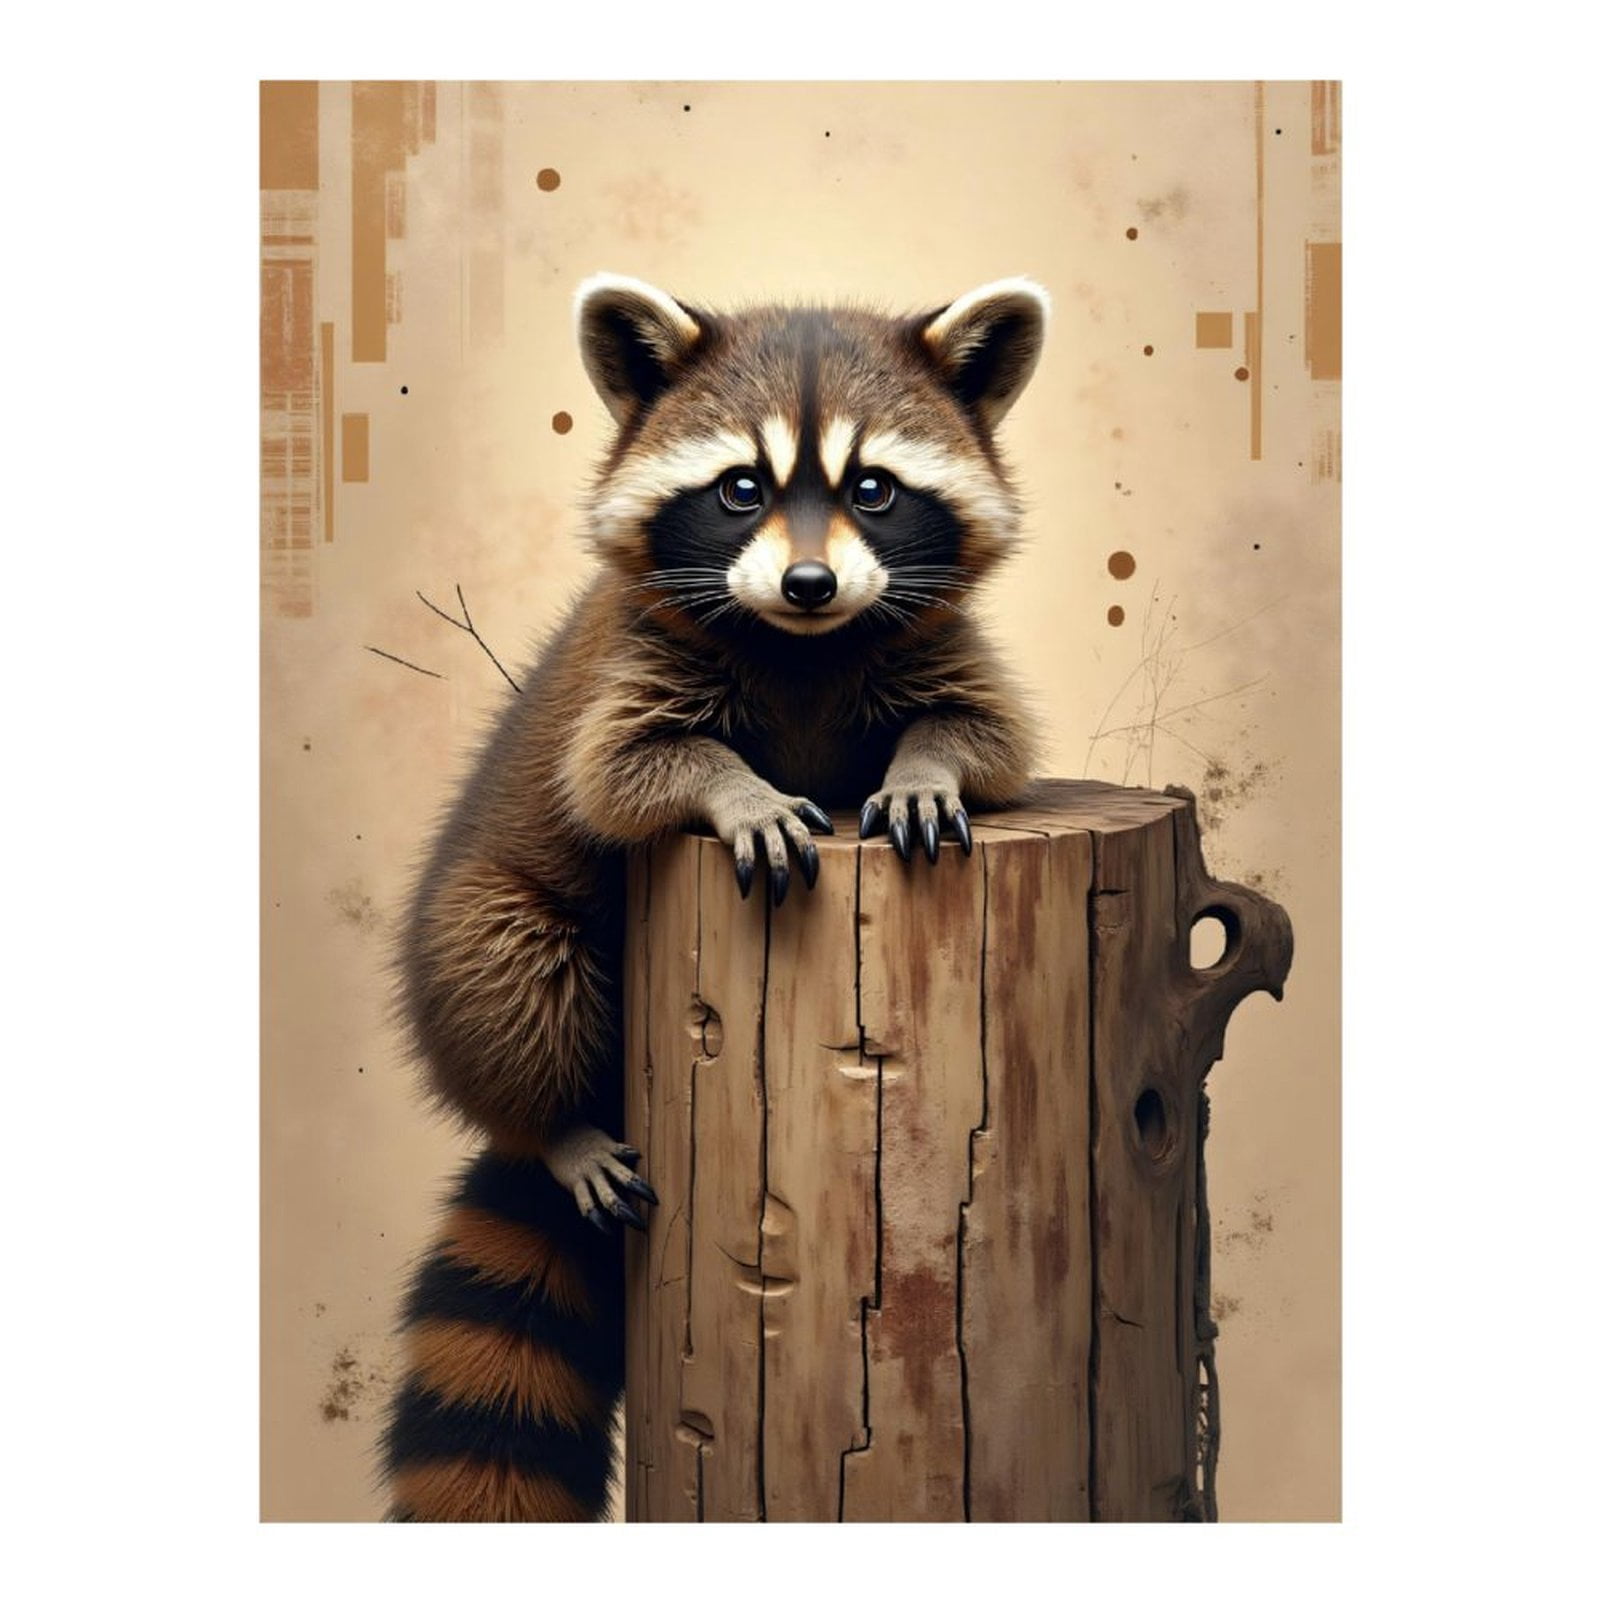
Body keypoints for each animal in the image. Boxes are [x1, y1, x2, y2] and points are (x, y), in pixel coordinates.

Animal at [380, 272, 1049, 1520]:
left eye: (873, 489)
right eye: (741, 489)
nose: (808, 583)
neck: (804, 645)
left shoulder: (941, 645)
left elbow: (987, 737)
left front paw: (925, 768)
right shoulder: (626, 665)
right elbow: (626, 770)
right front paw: (735, 789)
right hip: (485, 932)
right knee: (507, 965)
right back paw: (555, 1123)